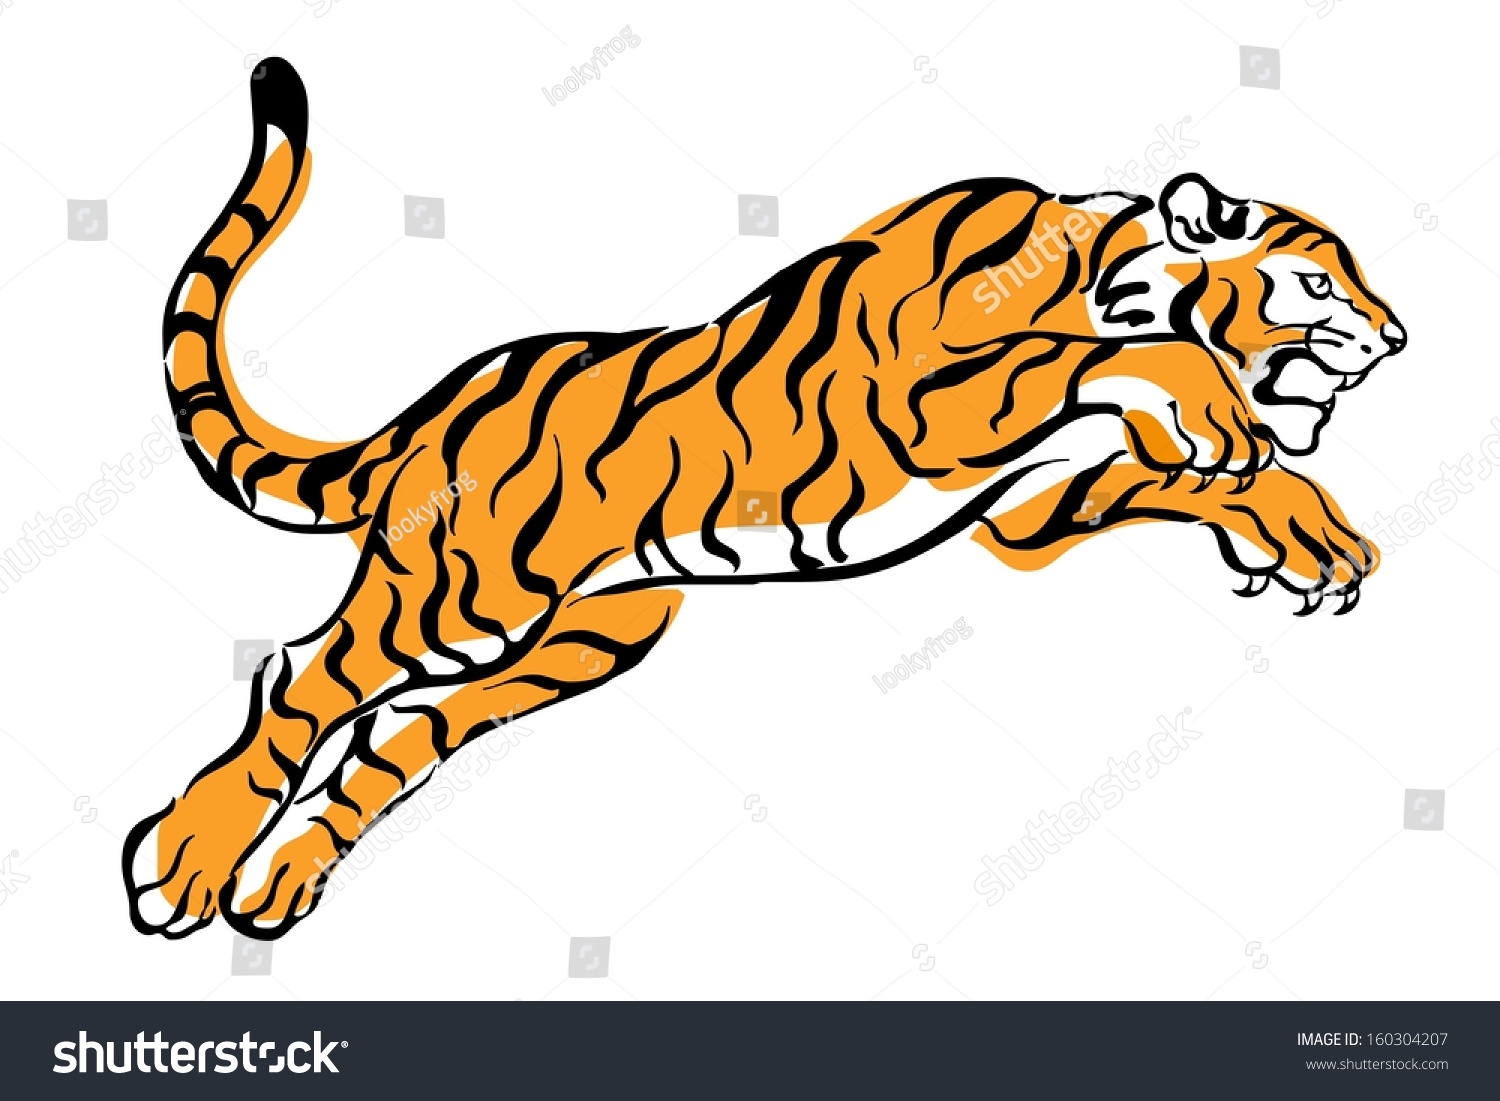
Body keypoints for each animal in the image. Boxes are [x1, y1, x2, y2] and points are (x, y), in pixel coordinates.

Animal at [124, 58, 1405, 939]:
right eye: (1315, 281)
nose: (1396, 338)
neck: (1107, 258)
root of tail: (431, 412)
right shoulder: (937, 405)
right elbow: (1096, 363)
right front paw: (1221, 419)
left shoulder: (1025, 510)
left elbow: (1160, 473)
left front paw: (1299, 531)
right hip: (465, 595)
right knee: (304, 674)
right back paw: (184, 859)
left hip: (583, 639)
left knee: (390, 739)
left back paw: (279, 885)